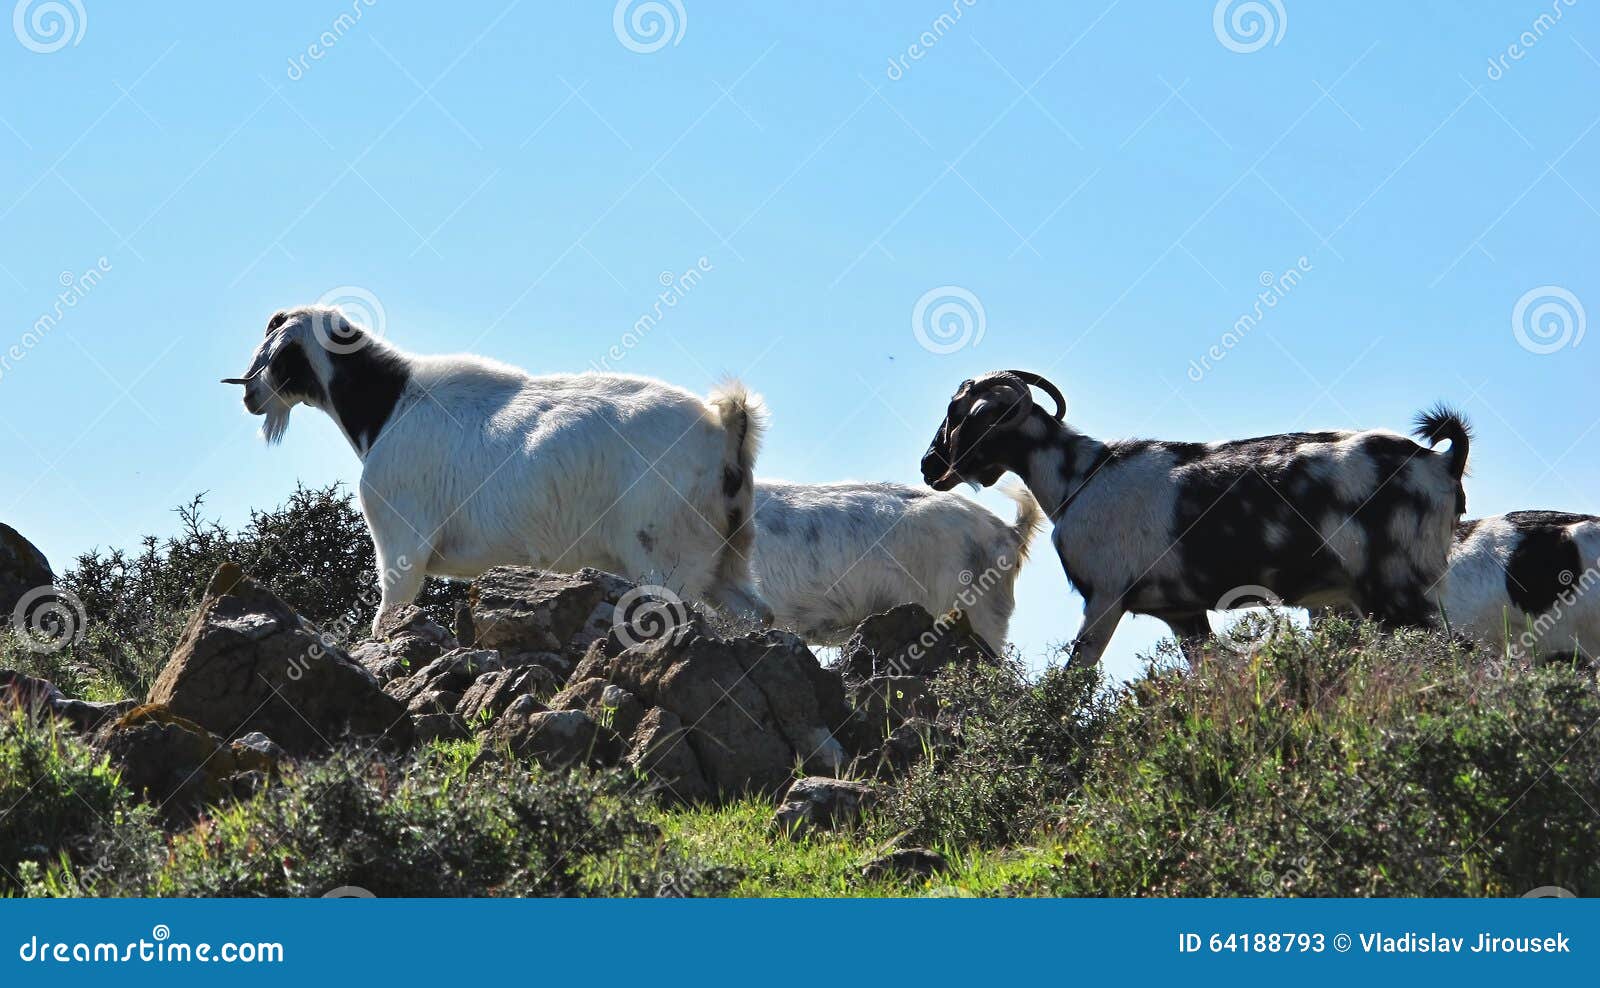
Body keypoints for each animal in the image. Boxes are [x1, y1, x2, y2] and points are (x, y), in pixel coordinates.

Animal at [224, 305, 771, 634]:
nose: (249, 397)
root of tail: (724, 431)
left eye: (281, 353)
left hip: (667, 557)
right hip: (724, 558)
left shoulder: (401, 543)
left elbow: (386, 617)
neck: (390, 404)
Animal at [920, 370, 1470, 666]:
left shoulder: (1105, 599)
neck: (1083, 475)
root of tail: (1440, 463)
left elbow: (1073, 677)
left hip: (1397, 588)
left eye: (960, 413)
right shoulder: (1182, 614)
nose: (929, 467)